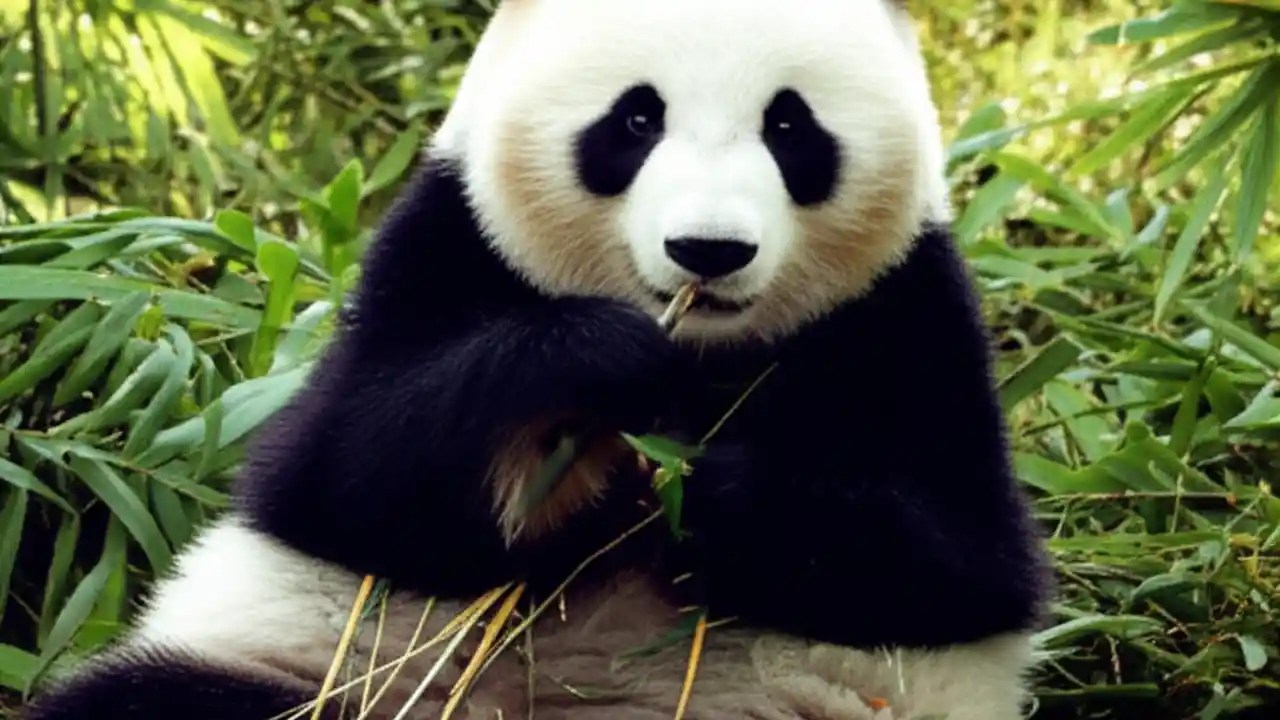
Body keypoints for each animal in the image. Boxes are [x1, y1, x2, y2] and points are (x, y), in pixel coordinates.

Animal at [24, 1, 1051, 718]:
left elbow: (959, 559)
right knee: (146, 701)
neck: (708, 356)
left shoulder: (911, 315)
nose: (708, 251)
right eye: (635, 121)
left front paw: (711, 487)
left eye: (791, 127)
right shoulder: (445, 246)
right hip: (319, 677)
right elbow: (345, 473)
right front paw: (596, 367)